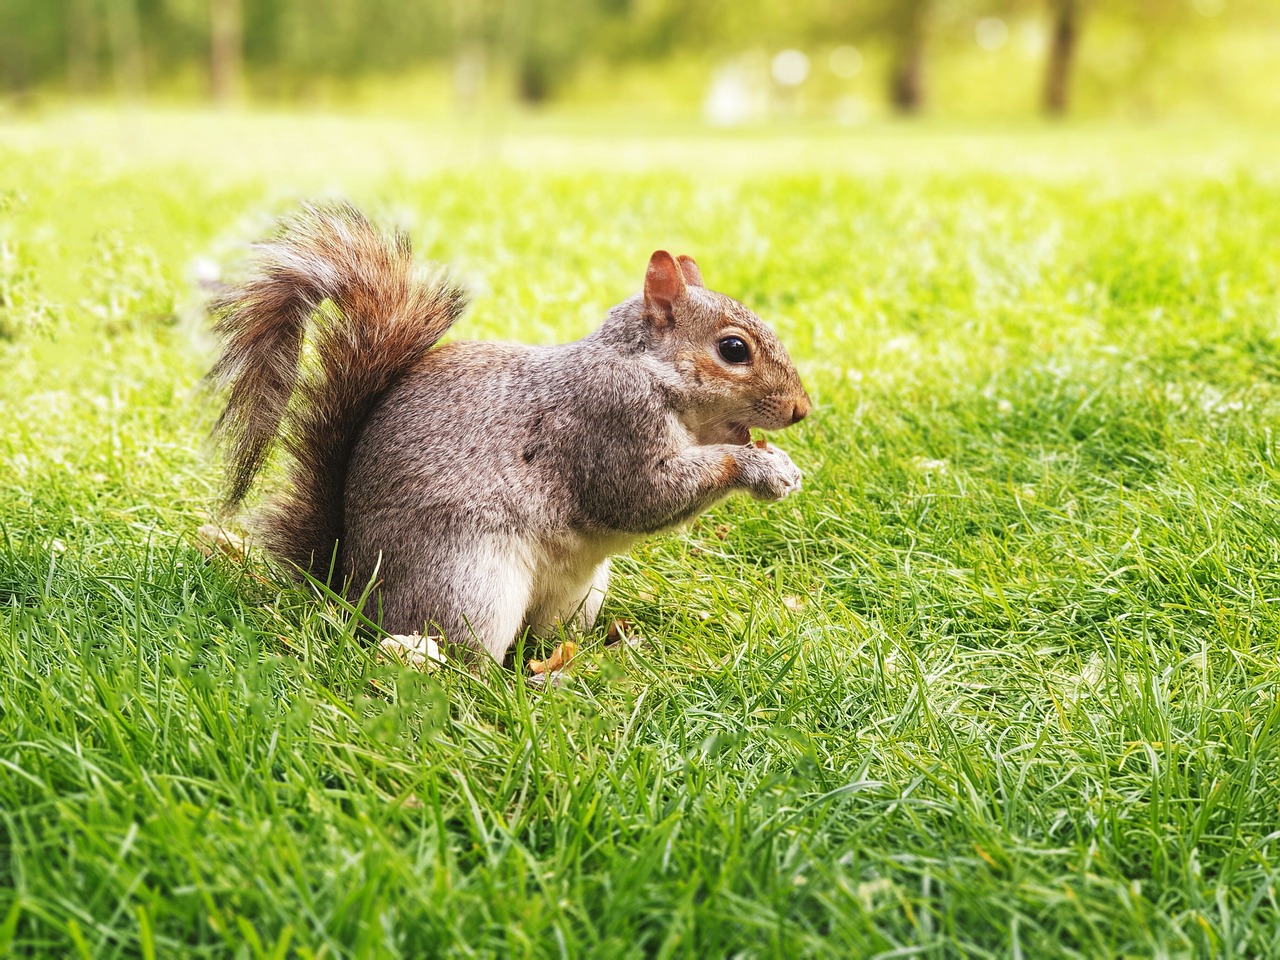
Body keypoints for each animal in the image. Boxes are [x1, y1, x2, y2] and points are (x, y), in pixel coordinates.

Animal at [209, 203, 810, 664]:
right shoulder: (609, 423)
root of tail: (352, 591)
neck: (645, 368)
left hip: (577, 595)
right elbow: (642, 495)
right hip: (468, 585)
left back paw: (586, 656)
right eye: (733, 350)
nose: (801, 410)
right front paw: (761, 468)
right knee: (467, 661)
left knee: (546, 639)